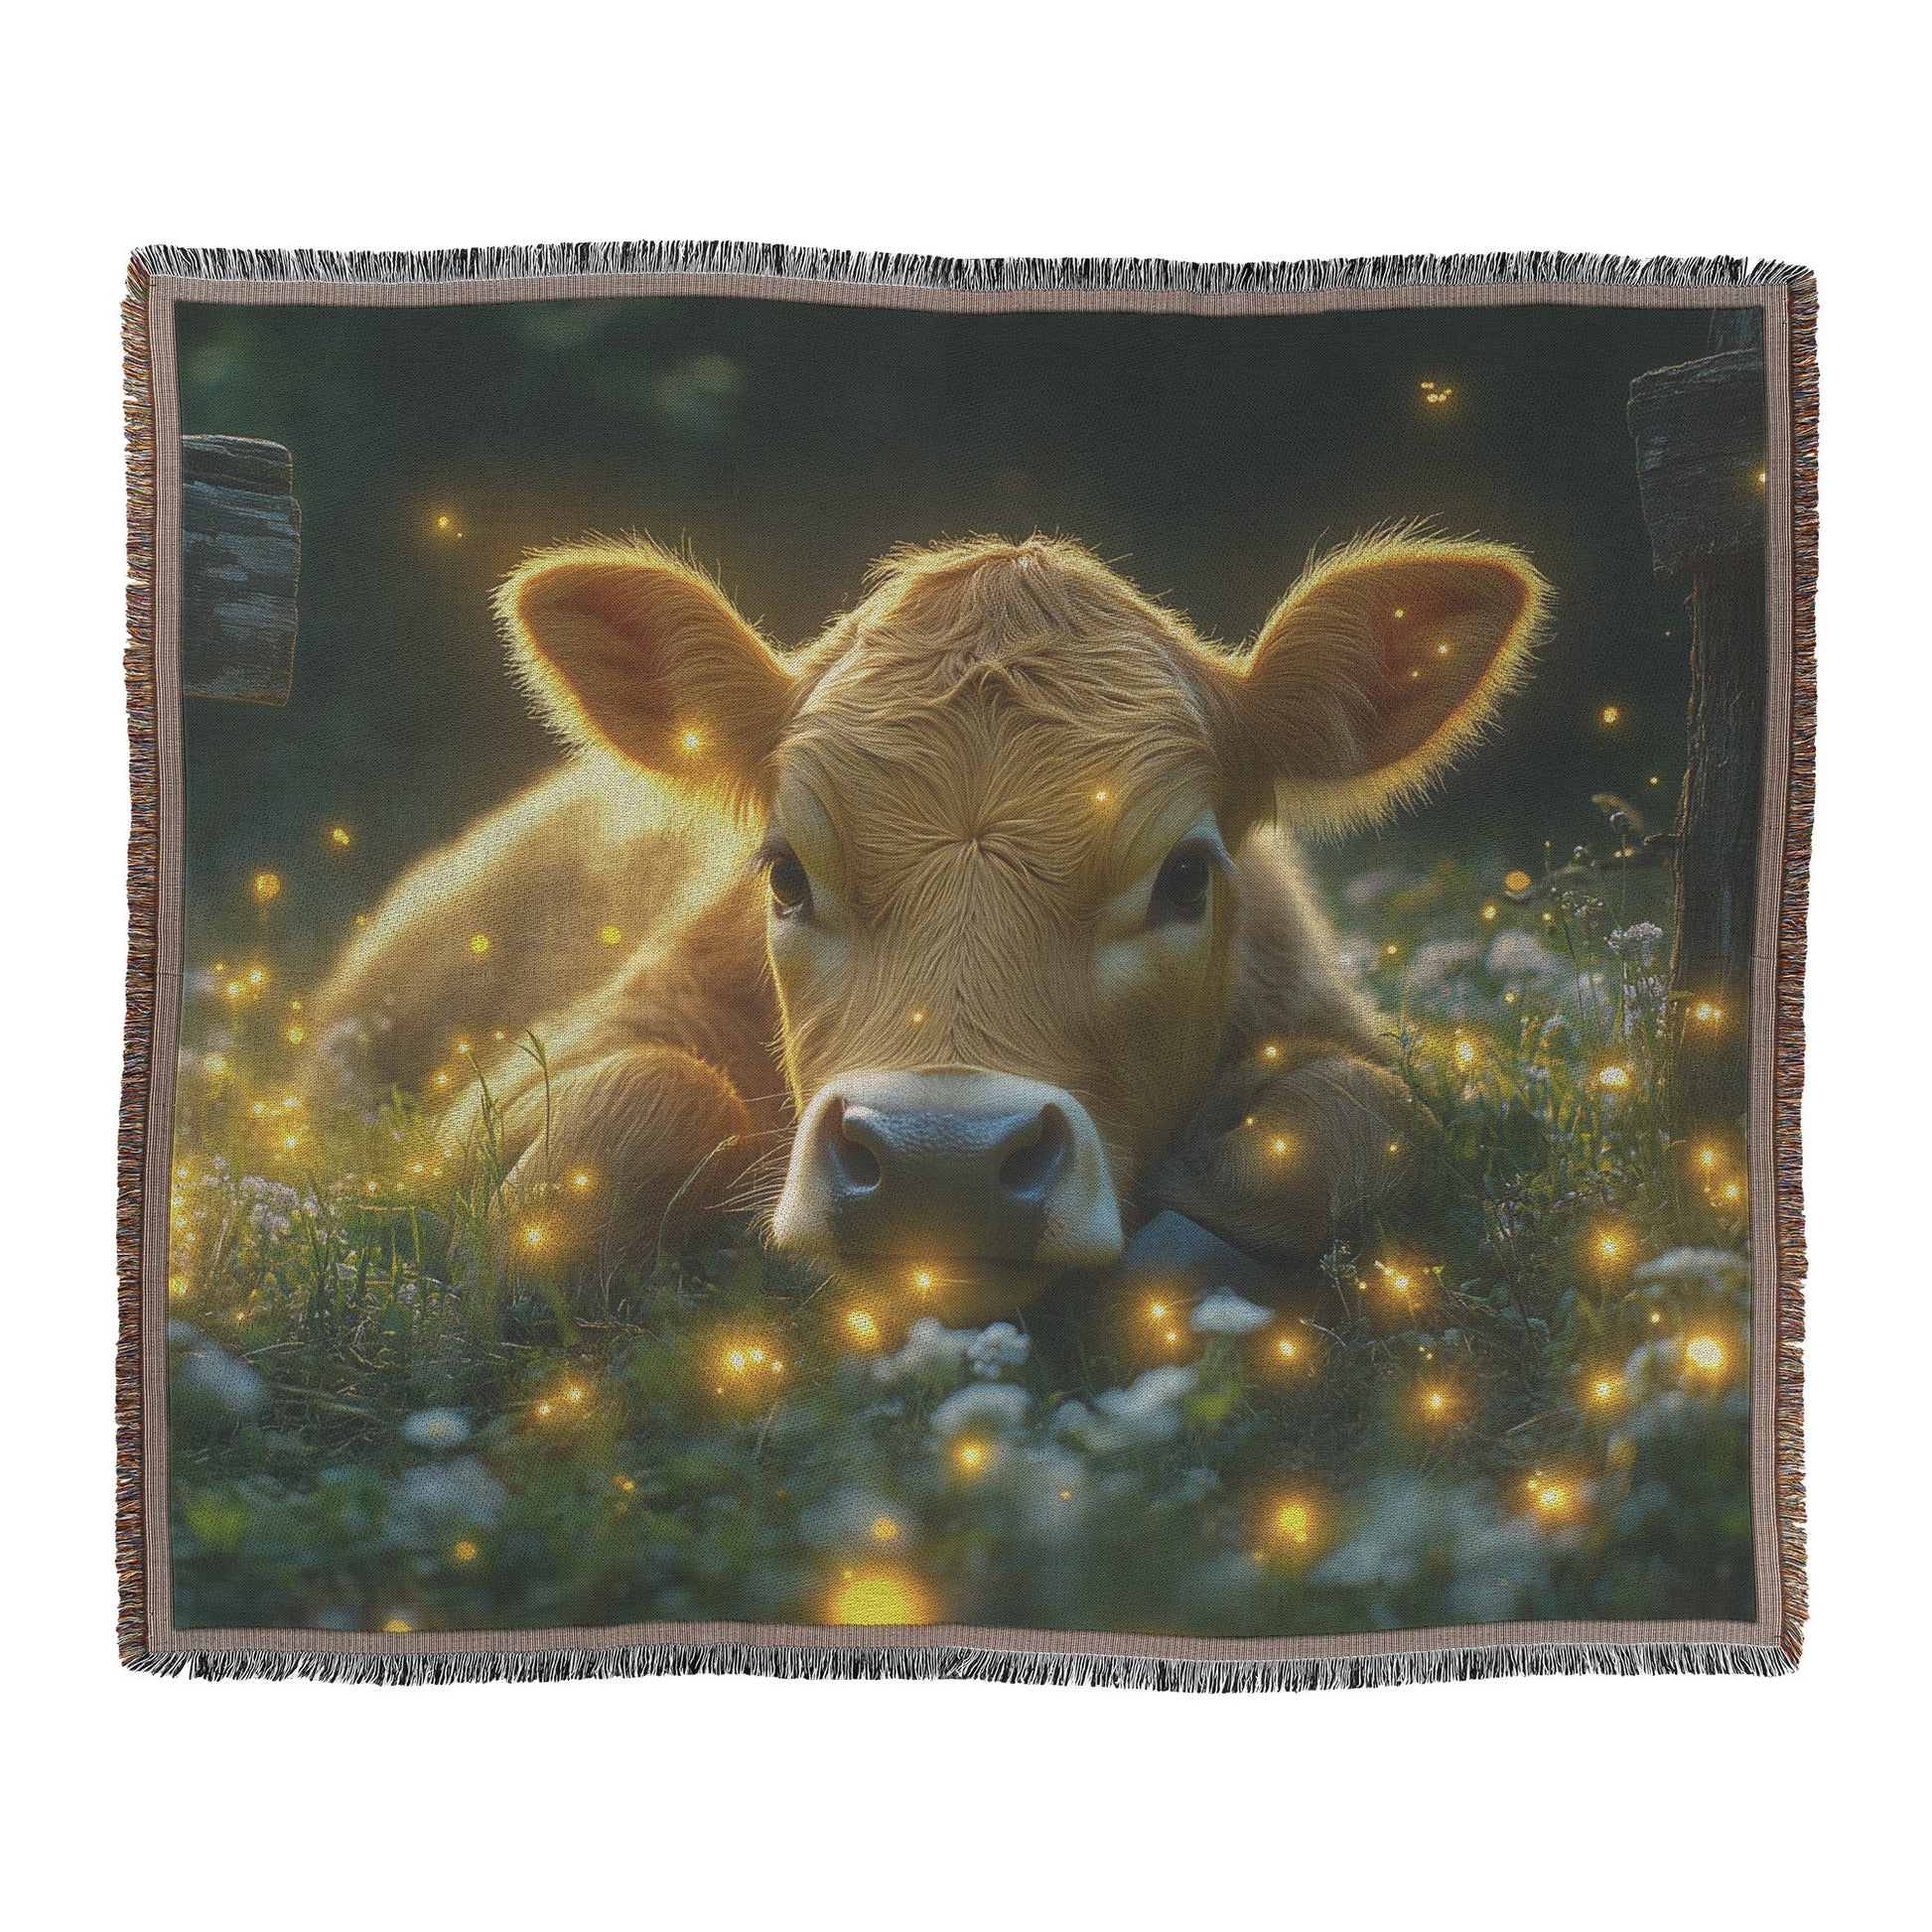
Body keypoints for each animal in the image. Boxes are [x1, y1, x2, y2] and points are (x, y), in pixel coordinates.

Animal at [311, 530, 1547, 1324]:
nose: (935, 1163)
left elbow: (1365, 1117)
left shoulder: (1338, 1029)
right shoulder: (493, 1094)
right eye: (785, 874)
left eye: (1186, 876)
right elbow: (651, 1094)